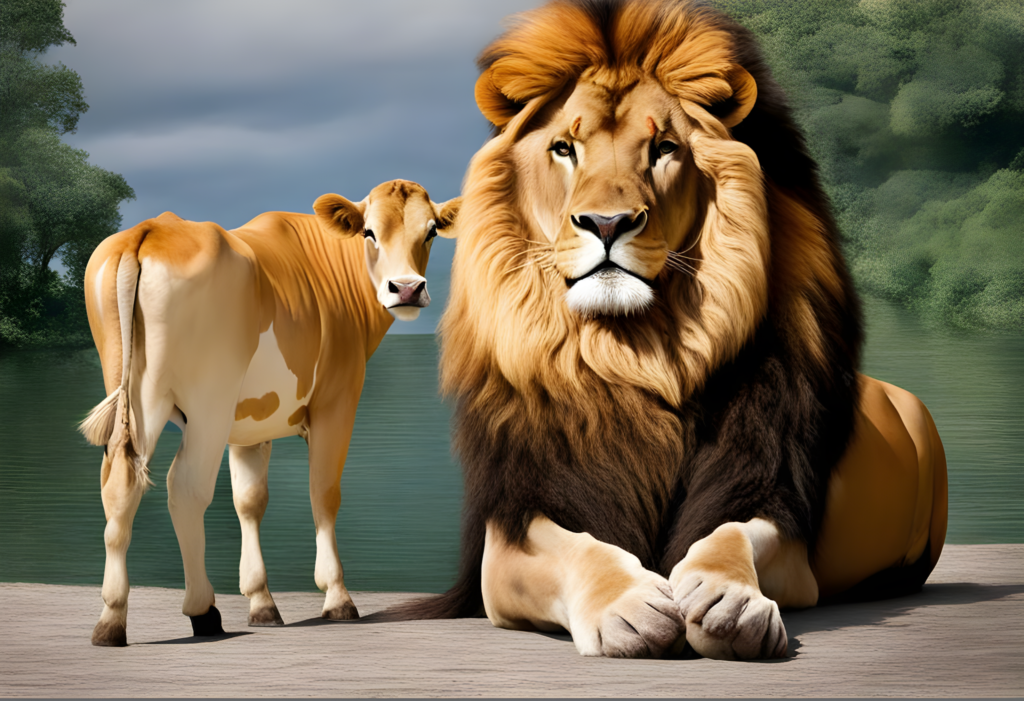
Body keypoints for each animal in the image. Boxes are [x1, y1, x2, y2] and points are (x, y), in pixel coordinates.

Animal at [79, 180, 460, 646]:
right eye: (369, 232)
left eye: (431, 232)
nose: (406, 288)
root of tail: (150, 229)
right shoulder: (337, 399)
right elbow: (323, 492)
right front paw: (337, 597)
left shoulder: (251, 421)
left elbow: (249, 499)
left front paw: (261, 602)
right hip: (208, 400)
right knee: (185, 487)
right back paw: (202, 611)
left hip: (135, 394)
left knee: (119, 481)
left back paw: (111, 619)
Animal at [375, 0, 948, 660]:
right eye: (565, 148)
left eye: (664, 148)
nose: (607, 222)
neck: (635, 353)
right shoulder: (512, 528)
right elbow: (578, 546)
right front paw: (625, 605)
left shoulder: (772, 496)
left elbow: (731, 533)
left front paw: (729, 600)